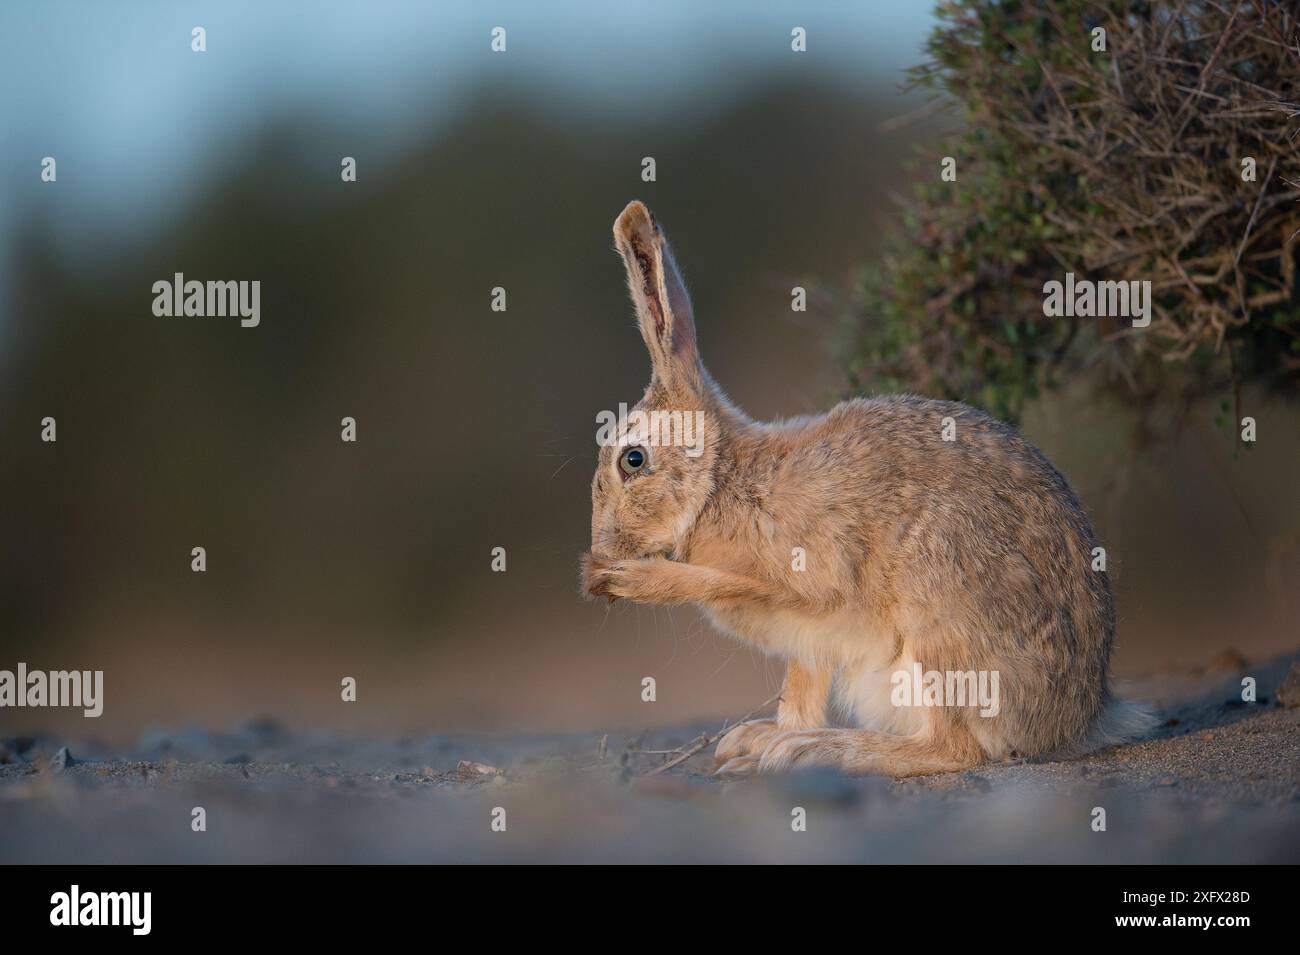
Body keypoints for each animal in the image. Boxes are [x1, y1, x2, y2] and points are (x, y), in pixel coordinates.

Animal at [581, 200, 1158, 777]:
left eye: (633, 460)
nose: (602, 548)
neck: (720, 483)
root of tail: (1078, 719)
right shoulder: (810, 643)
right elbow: (800, 687)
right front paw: (758, 743)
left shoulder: (805, 581)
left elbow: (731, 587)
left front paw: (633, 579)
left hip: (939, 617)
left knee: (955, 748)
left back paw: (824, 749)